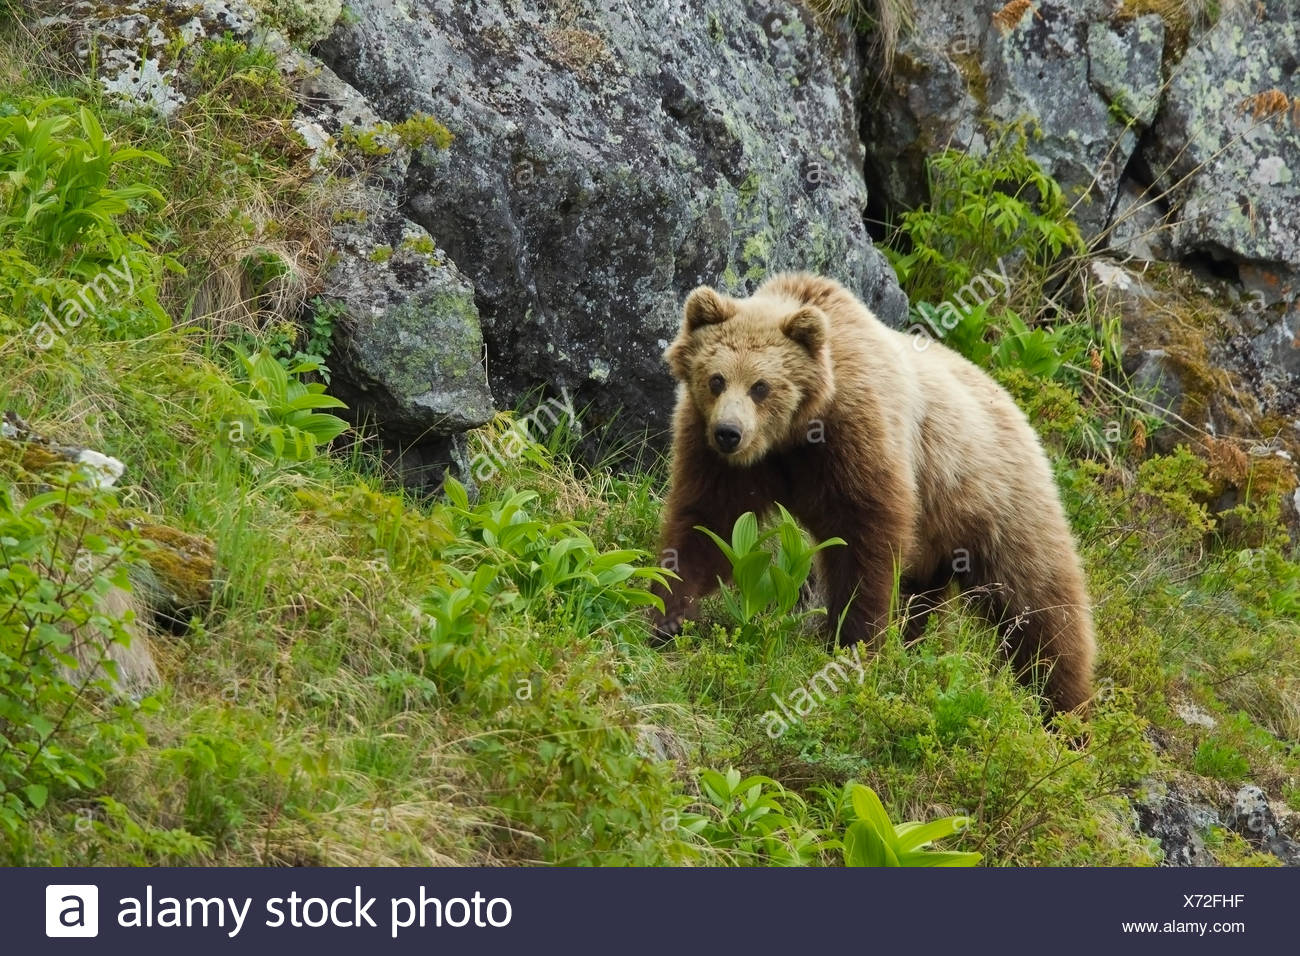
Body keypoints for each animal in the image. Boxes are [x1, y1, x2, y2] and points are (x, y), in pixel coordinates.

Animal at [648, 272, 1096, 715]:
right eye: (716, 379)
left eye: (761, 386)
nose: (729, 432)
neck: (794, 434)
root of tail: (1016, 404)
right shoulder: (720, 457)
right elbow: (706, 527)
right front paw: (666, 616)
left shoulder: (857, 438)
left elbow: (865, 542)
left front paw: (853, 645)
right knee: (925, 600)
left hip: (996, 503)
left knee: (1040, 605)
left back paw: (1064, 707)